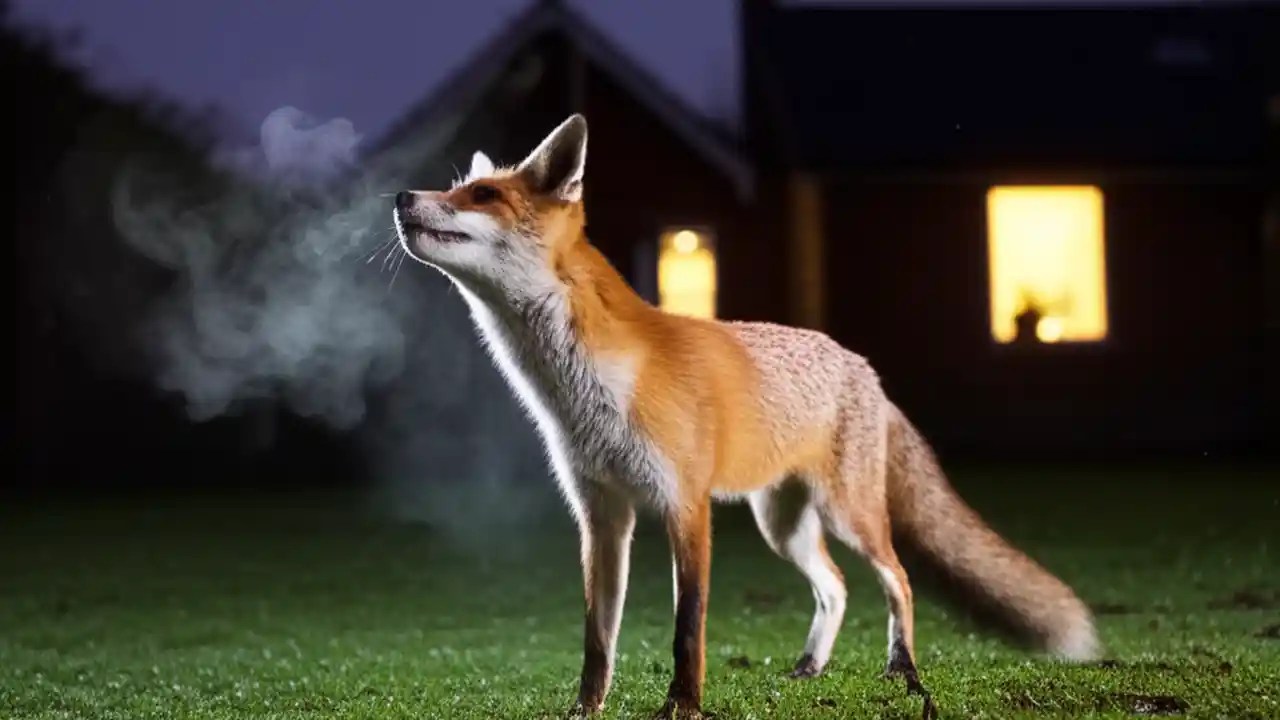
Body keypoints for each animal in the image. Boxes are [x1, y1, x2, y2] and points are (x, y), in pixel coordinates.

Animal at [392, 114, 1100, 718]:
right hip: (781, 524)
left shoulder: (686, 505)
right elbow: (598, 638)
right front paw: (586, 710)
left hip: (849, 514)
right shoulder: (602, 515)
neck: (582, 393)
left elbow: (688, 628)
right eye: (457, 188)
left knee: (896, 579)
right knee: (836, 587)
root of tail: (862, 366)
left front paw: (683, 707)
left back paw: (902, 669)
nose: (400, 196)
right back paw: (810, 669)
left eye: (483, 194)